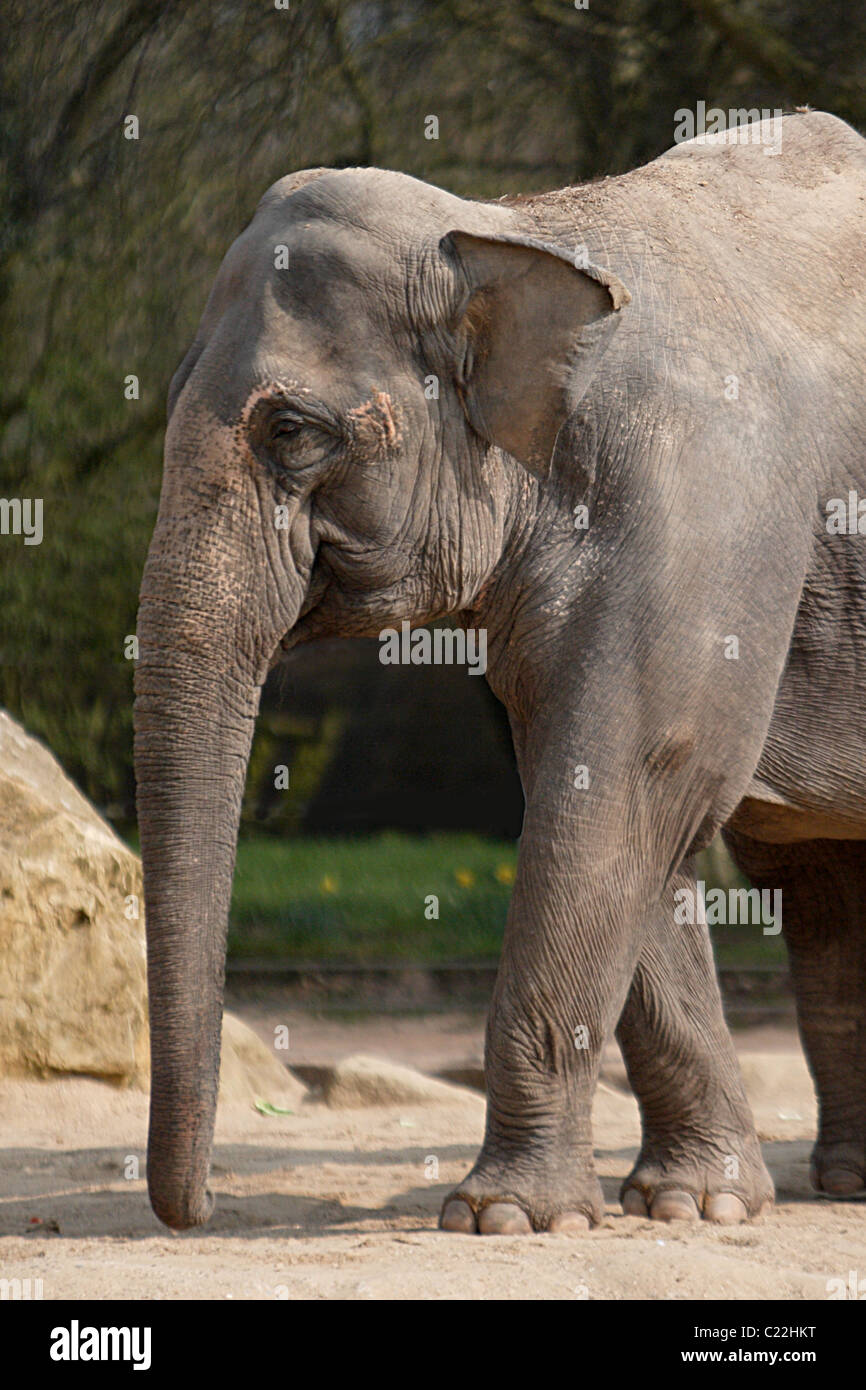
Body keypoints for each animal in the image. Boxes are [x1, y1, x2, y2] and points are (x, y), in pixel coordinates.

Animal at [134, 110, 866, 1236]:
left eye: (289, 430)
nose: (199, 1209)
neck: (512, 225)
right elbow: (615, 799)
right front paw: (692, 1204)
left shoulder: (705, 507)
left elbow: (628, 781)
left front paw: (503, 1218)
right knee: (818, 873)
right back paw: (847, 1180)